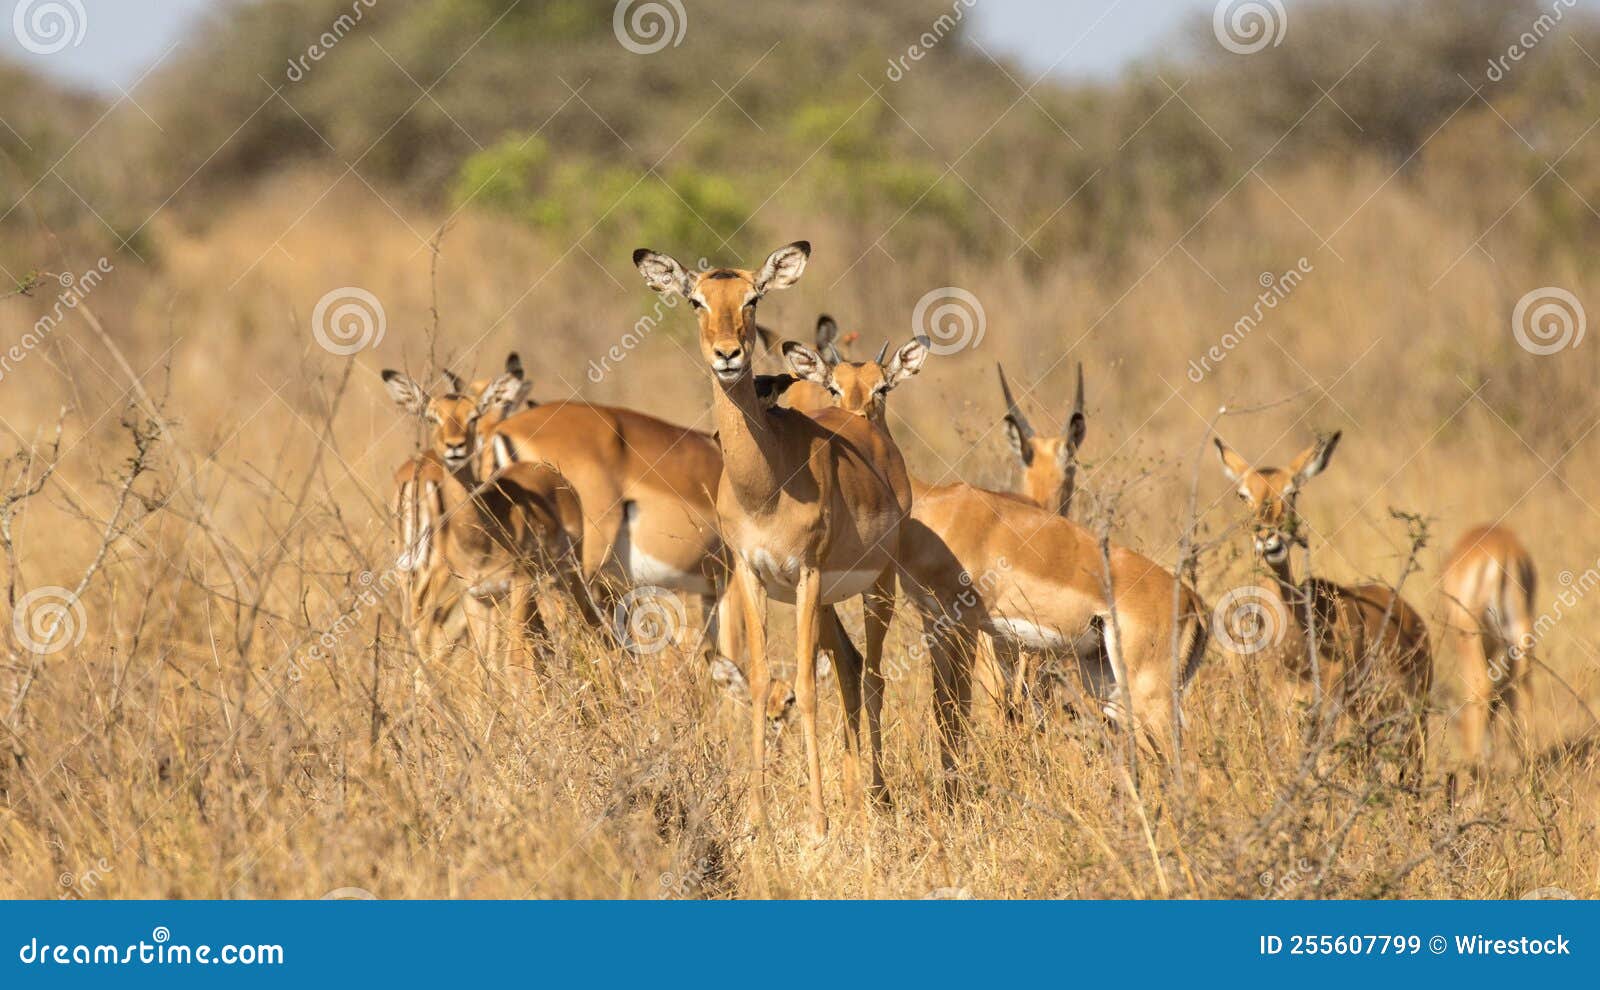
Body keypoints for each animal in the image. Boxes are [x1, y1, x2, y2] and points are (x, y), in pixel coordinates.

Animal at [634, 241, 926, 837]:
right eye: (695, 299)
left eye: (753, 298)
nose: (727, 355)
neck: (766, 484)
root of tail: (874, 433)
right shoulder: (752, 574)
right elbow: (760, 677)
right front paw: (757, 817)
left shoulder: (806, 572)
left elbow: (807, 688)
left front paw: (817, 821)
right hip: (829, 600)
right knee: (851, 668)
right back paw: (855, 797)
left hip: (877, 586)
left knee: (875, 676)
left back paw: (878, 799)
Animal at [786, 344, 1209, 788]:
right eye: (833, 386)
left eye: (882, 386)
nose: (855, 422)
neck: (932, 507)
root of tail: (1195, 605)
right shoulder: (933, 621)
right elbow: (943, 710)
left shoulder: (966, 625)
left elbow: (959, 712)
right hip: (1111, 687)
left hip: (1149, 697)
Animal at [1214, 432, 1432, 778]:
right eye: (1243, 494)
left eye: (1292, 491)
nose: (1268, 538)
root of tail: (1408, 612)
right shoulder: (1287, 709)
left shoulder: (1334, 707)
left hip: (1411, 722)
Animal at [1439, 524, 1537, 768]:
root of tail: (1502, 553)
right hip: (1521, 633)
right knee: (1521, 684)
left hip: (1470, 636)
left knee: (1481, 686)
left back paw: (1479, 765)